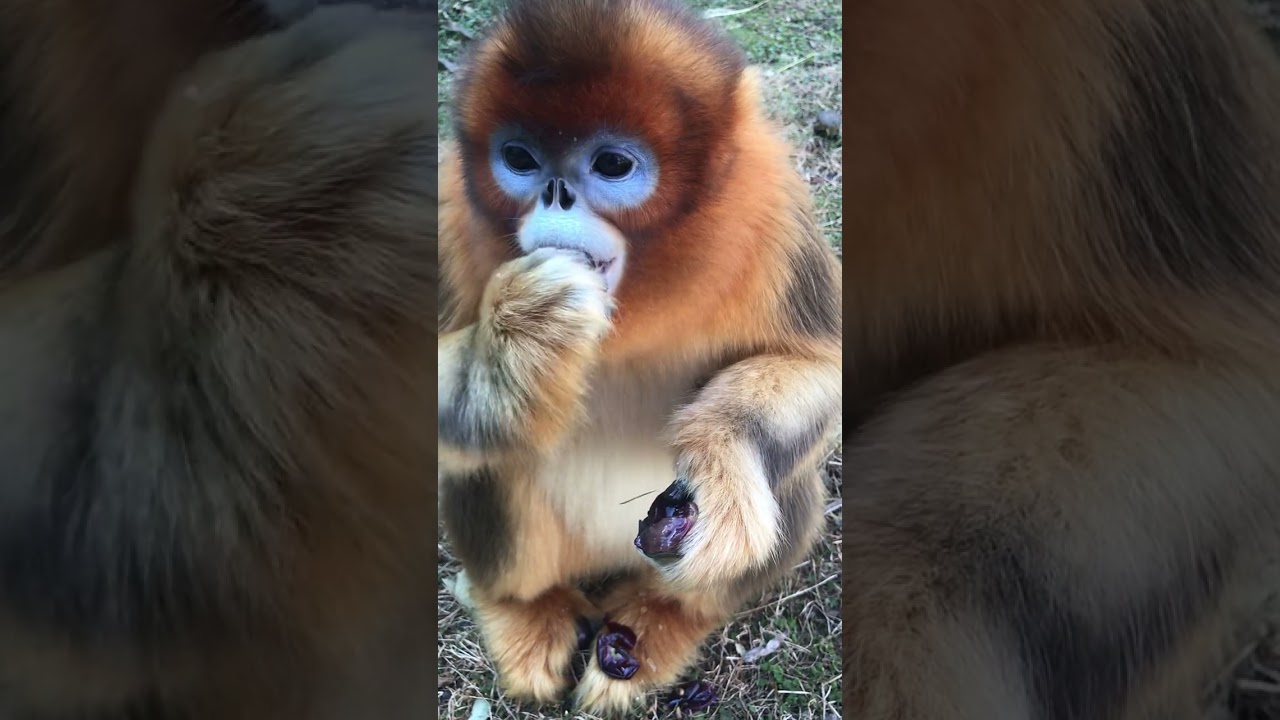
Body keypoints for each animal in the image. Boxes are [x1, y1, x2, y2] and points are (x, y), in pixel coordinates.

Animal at [436, 0, 843, 713]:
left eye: (612, 166)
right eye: (518, 157)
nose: (556, 194)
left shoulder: (773, 215)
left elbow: (822, 366)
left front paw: (722, 452)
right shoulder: (445, 212)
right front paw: (519, 334)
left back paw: (659, 622)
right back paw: (524, 611)